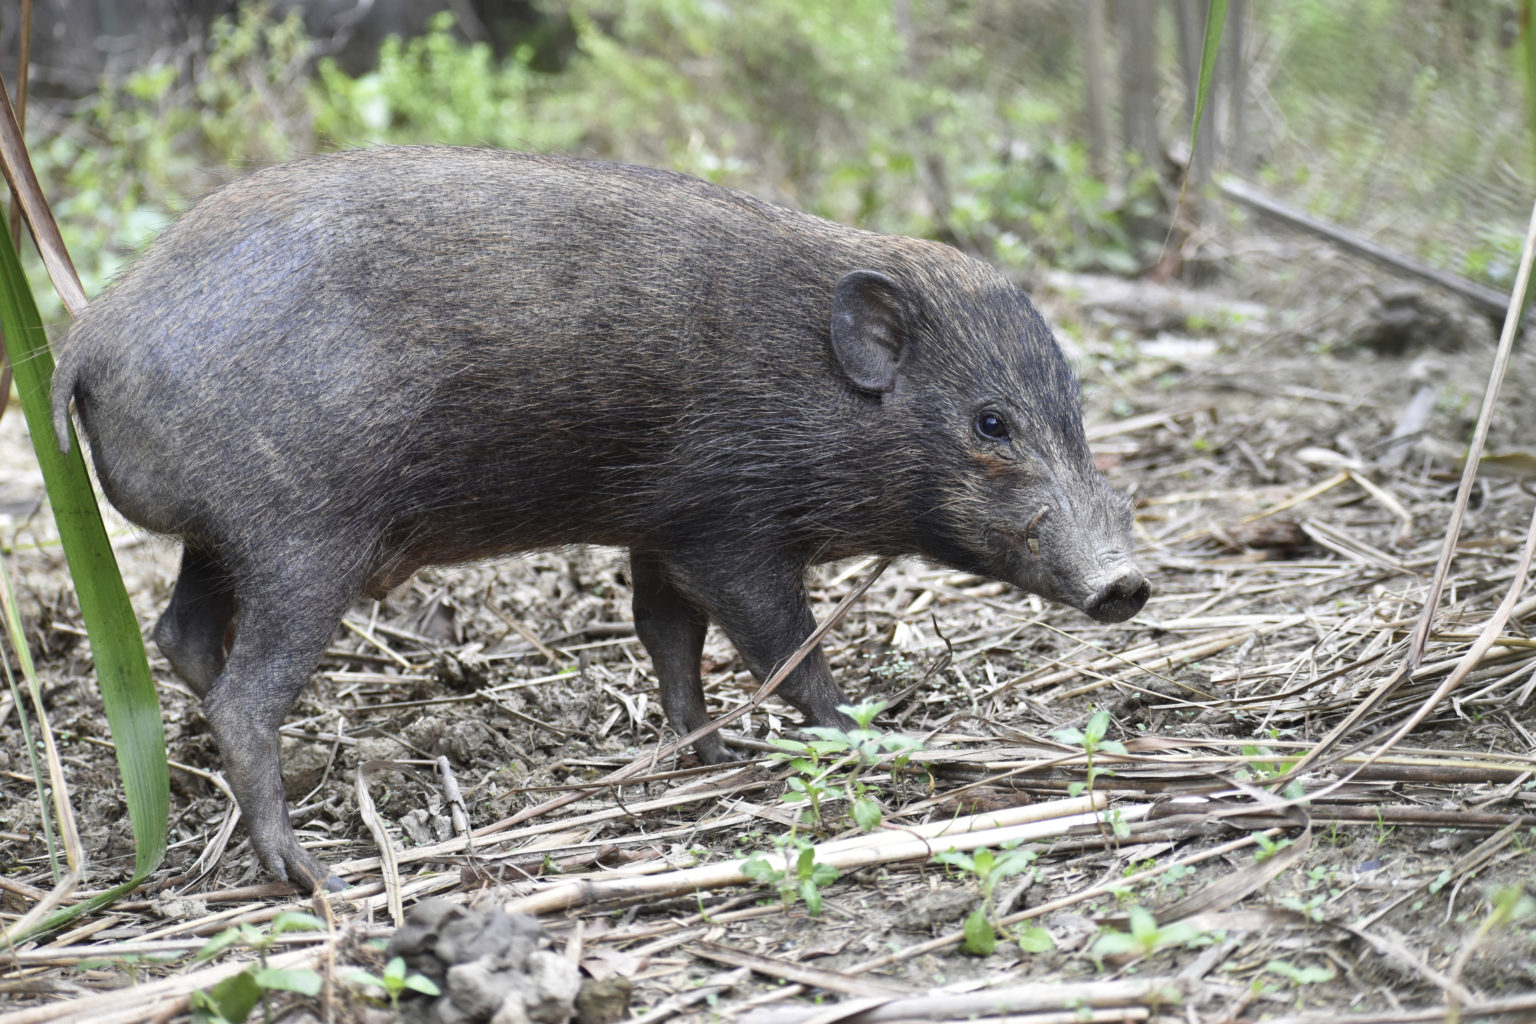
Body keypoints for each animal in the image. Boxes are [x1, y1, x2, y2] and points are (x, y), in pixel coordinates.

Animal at [51, 146, 1148, 891]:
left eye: (1074, 408)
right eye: (992, 421)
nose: (1128, 583)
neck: (815, 382)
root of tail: (88, 338)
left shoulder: (665, 528)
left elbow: (667, 637)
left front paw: (713, 757)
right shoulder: (732, 530)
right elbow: (782, 647)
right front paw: (863, 737)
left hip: (224, 539)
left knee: (181, 633)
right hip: (300, 540)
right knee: (240, 694)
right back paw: (314, 872)